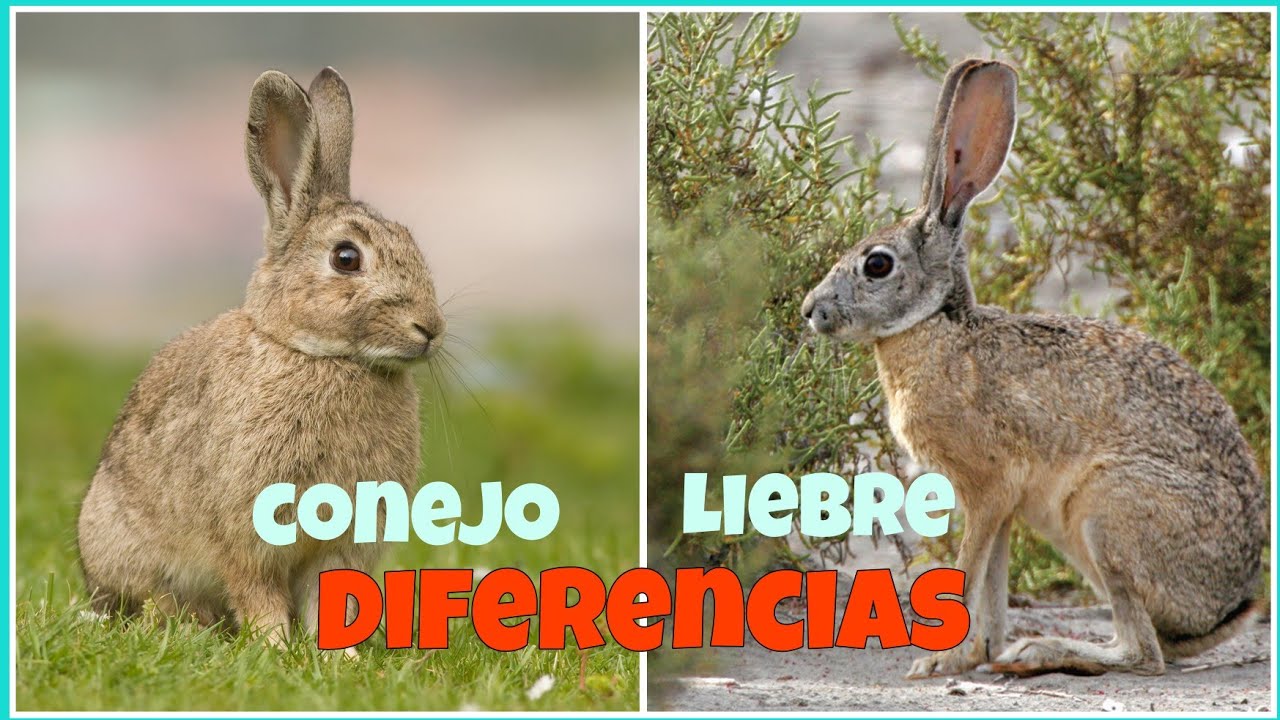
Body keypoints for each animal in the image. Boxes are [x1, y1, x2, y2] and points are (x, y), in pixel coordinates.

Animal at [76, 67, 446, 650]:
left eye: (410, 239)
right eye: (346, 258)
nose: (429, 328)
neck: (323, 357)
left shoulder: (342, 544)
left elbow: (329, 600)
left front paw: (339, 656)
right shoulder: (249, 534)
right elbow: (258, 592)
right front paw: (274, 646)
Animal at [801, 59, 1266, 677]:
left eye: (877, 265)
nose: (811, 311)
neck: (940, 328)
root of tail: (1225, 609)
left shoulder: (988, 486)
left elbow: (965, 574)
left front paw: (937, 662)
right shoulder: (1001, 502)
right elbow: (990, 585)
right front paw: (974, 654)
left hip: (1106, 513)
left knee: (1142, 652)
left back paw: (1037, 653)